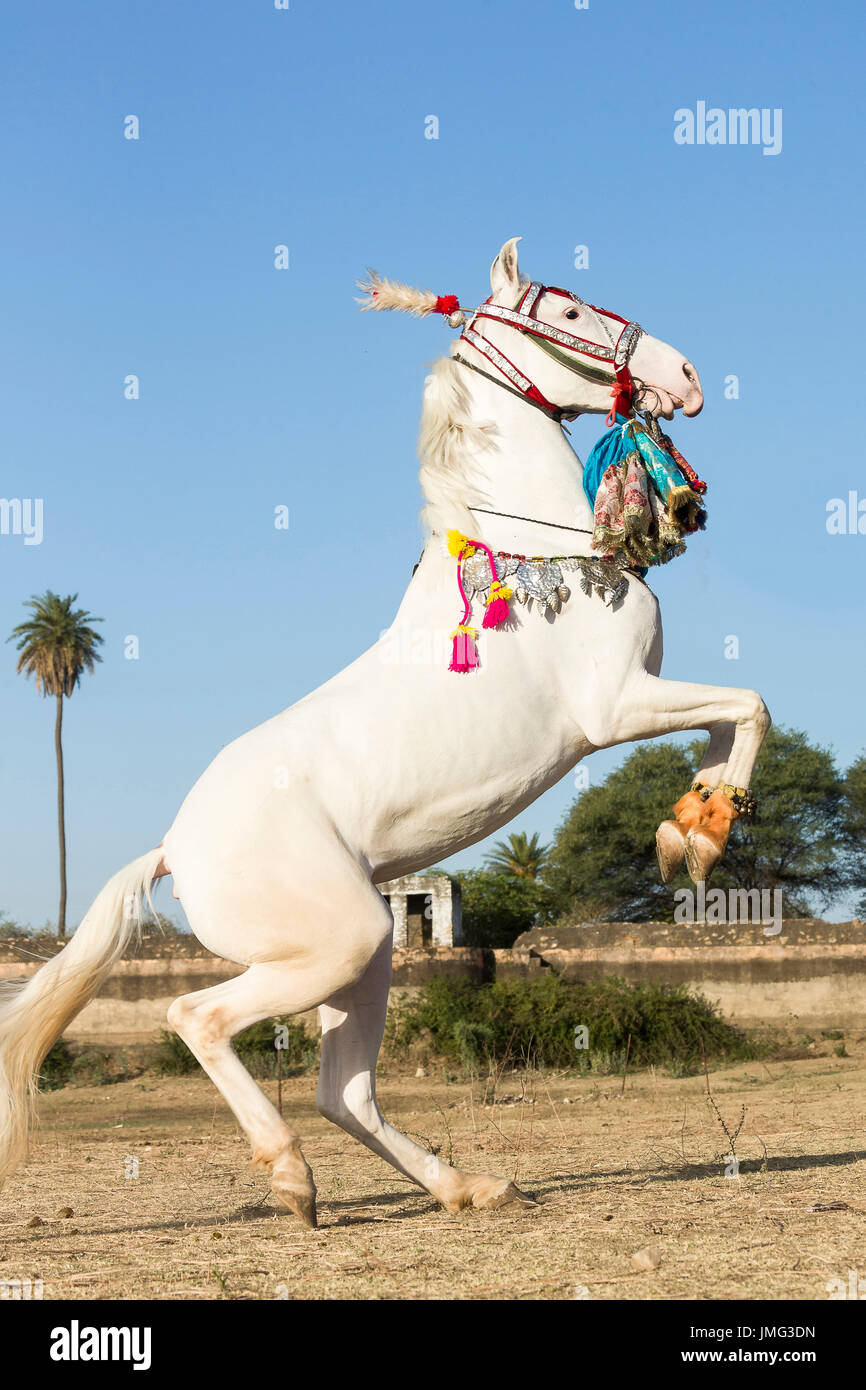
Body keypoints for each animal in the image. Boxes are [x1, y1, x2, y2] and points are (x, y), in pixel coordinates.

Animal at [0, 238, 770, 1226]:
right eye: (564, 311)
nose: (688, 377)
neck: (536, 553)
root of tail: (174, 847)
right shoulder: (616, 707)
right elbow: (747, 703)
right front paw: (702, 837)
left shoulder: (641, 699)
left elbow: (727, 725)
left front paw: (691, 827)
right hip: (339, 942)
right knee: (200, 1021)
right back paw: (293, 1178)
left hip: (364, 955)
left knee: (345, 1091)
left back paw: (469, 1186)